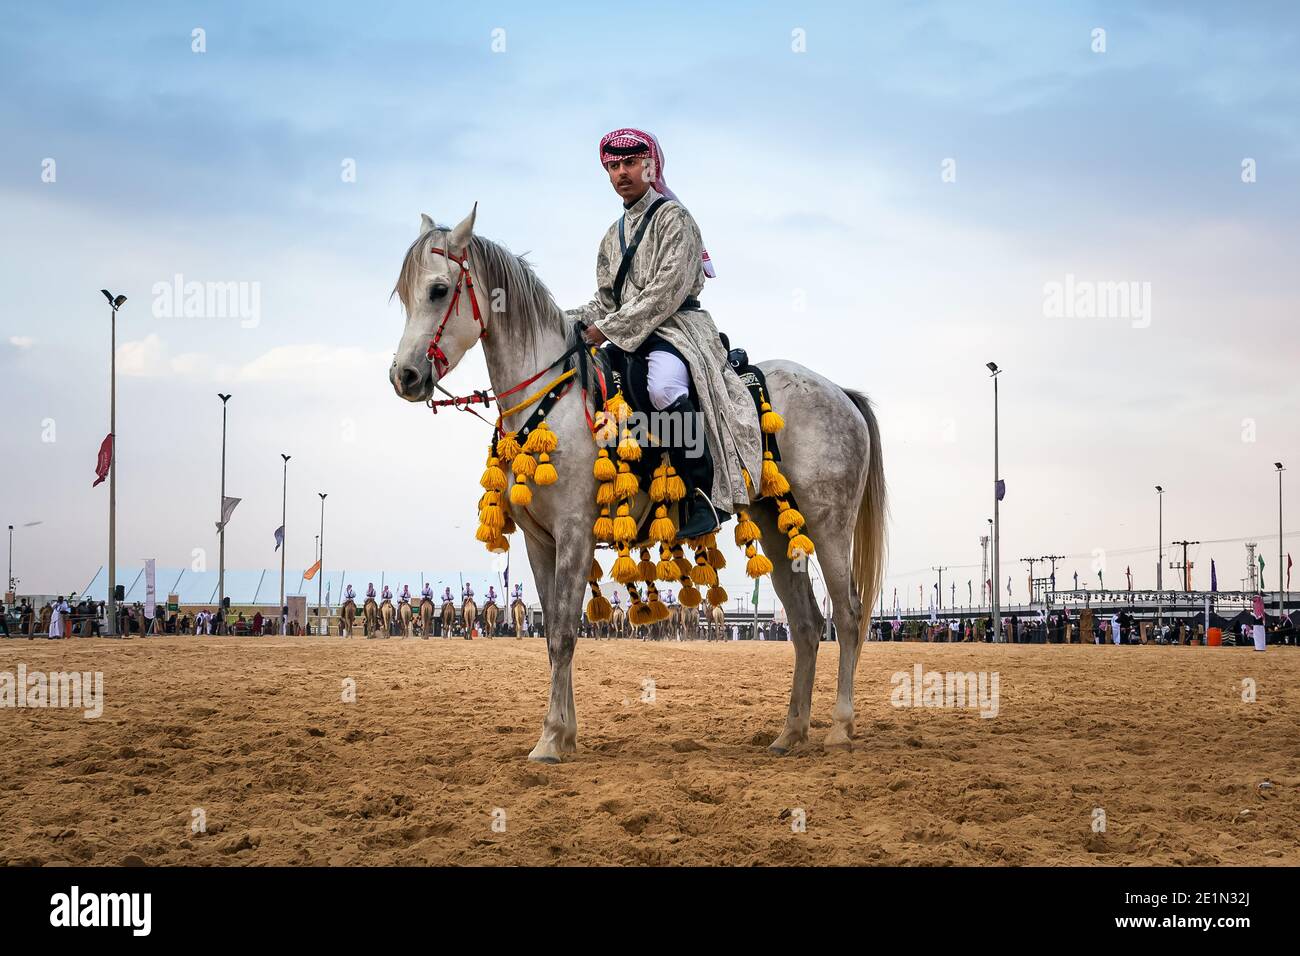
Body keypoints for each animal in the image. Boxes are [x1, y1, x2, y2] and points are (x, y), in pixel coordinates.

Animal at [389, 208, 886, 762]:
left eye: (437, 290)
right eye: (404, 294)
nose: (404, 375)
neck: (551, 400)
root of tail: (838, 392)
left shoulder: (575, 532)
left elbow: (563, 634)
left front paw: (550, 739)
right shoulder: (541, 542)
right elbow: (552, 634)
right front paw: (566, 734)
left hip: (829, 525)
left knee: (848, 615)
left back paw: (840, 726)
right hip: (778, 530)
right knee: (806, 624)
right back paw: (790, 732)